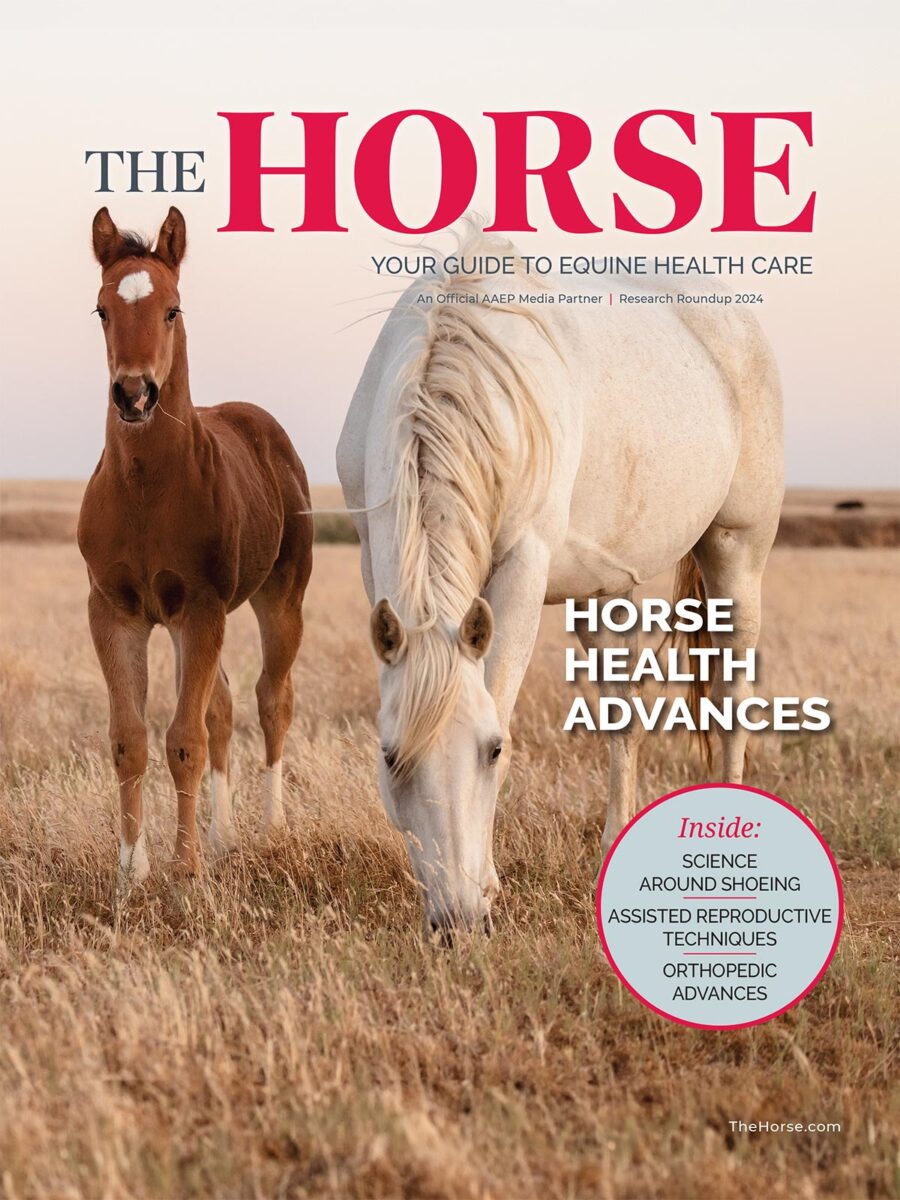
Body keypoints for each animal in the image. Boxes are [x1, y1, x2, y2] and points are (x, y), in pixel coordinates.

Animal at [78, 207, 313, 882]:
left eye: (172, 309)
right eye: (102, 310)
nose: (134, 395)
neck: (147, 492)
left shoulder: (201, 608)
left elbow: (184, 740)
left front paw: (184, 871)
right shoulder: (115, 610)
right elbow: (130, 738)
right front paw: (131, 871)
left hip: (280, 599)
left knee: (271, 699)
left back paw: (269, 828)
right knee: (223, 707)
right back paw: (222, 835)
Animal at [337, 230, 783, 935]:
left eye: (492, 751)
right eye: (388, 756)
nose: (457, 922)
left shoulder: (523, 566)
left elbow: (499, 694)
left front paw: (490, 885)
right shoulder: (373, 557)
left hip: (737, 557)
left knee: (732, 699)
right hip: (605, 594)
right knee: (624, 717)